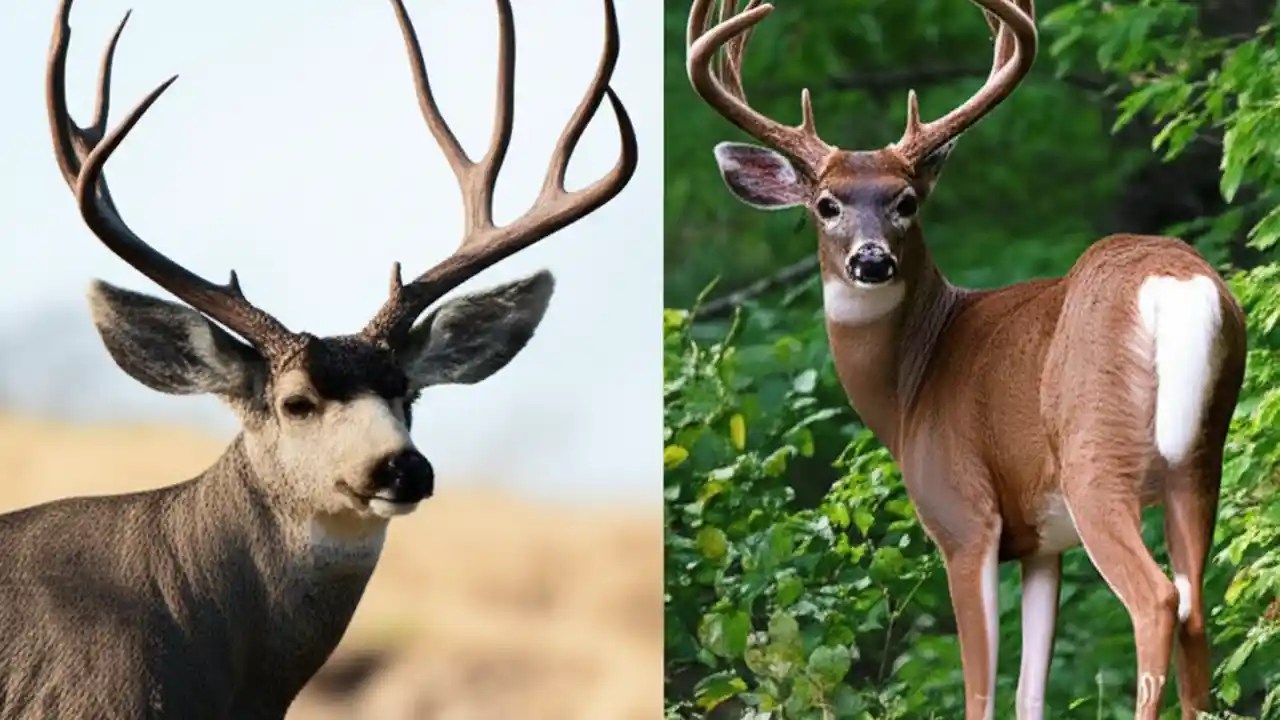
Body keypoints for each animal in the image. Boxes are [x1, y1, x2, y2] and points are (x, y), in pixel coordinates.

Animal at [687, 1, 1246, 719]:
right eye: (827, 204)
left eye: (906, 200)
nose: (872, 260)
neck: (910, 386)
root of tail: (1176, 282)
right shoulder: (1041, 540)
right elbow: (1030, 694)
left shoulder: (964, 516)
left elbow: (981, 692)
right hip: (1200, 460)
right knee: (1197, 609)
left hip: (1096, 456)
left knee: (1157, 600)